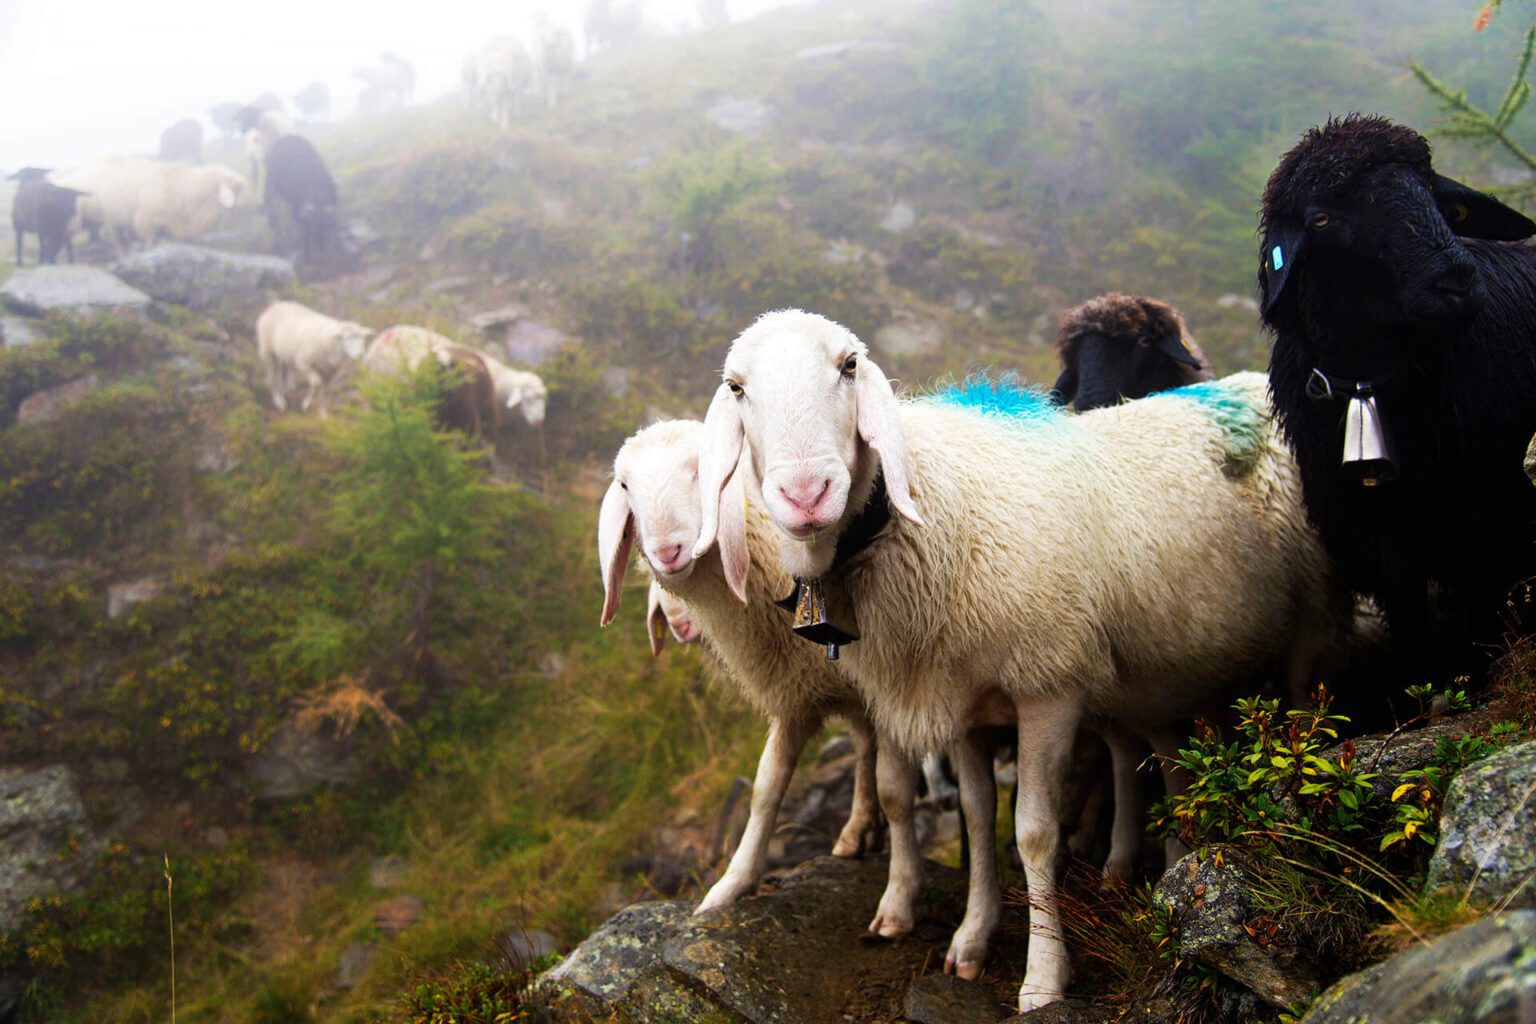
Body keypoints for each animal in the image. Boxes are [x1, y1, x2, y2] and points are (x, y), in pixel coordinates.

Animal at [598, 419, 903, 922]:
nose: (667, 551)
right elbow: (766, 788)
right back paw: (859, 826)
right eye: (625, 485)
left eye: (700, 468)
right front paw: (731, 886)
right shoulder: (794, 692)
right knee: (863, 745)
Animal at [692, 310, 1351, 1011]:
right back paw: (1166, 860)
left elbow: (1035, 833)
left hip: (1312, 621)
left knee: (1303, 710)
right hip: (1155, 677)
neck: (938, 517)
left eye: (848, 366)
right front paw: (973, 937)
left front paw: (1043, 978)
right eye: (736, 387)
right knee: (1165, 760)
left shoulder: (1048, 686)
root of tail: (1251, 383)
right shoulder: (965, 706)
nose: (806, 493)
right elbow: (980, 820)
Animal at [1258, 114, 1536, 682]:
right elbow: (1407, 618)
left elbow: (1483, 616)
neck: (1373, 383)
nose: (1457, 281)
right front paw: (1422, 685)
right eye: (1321, 219)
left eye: (1435, 196)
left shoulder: (1487, 515)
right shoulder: (1370, 532)